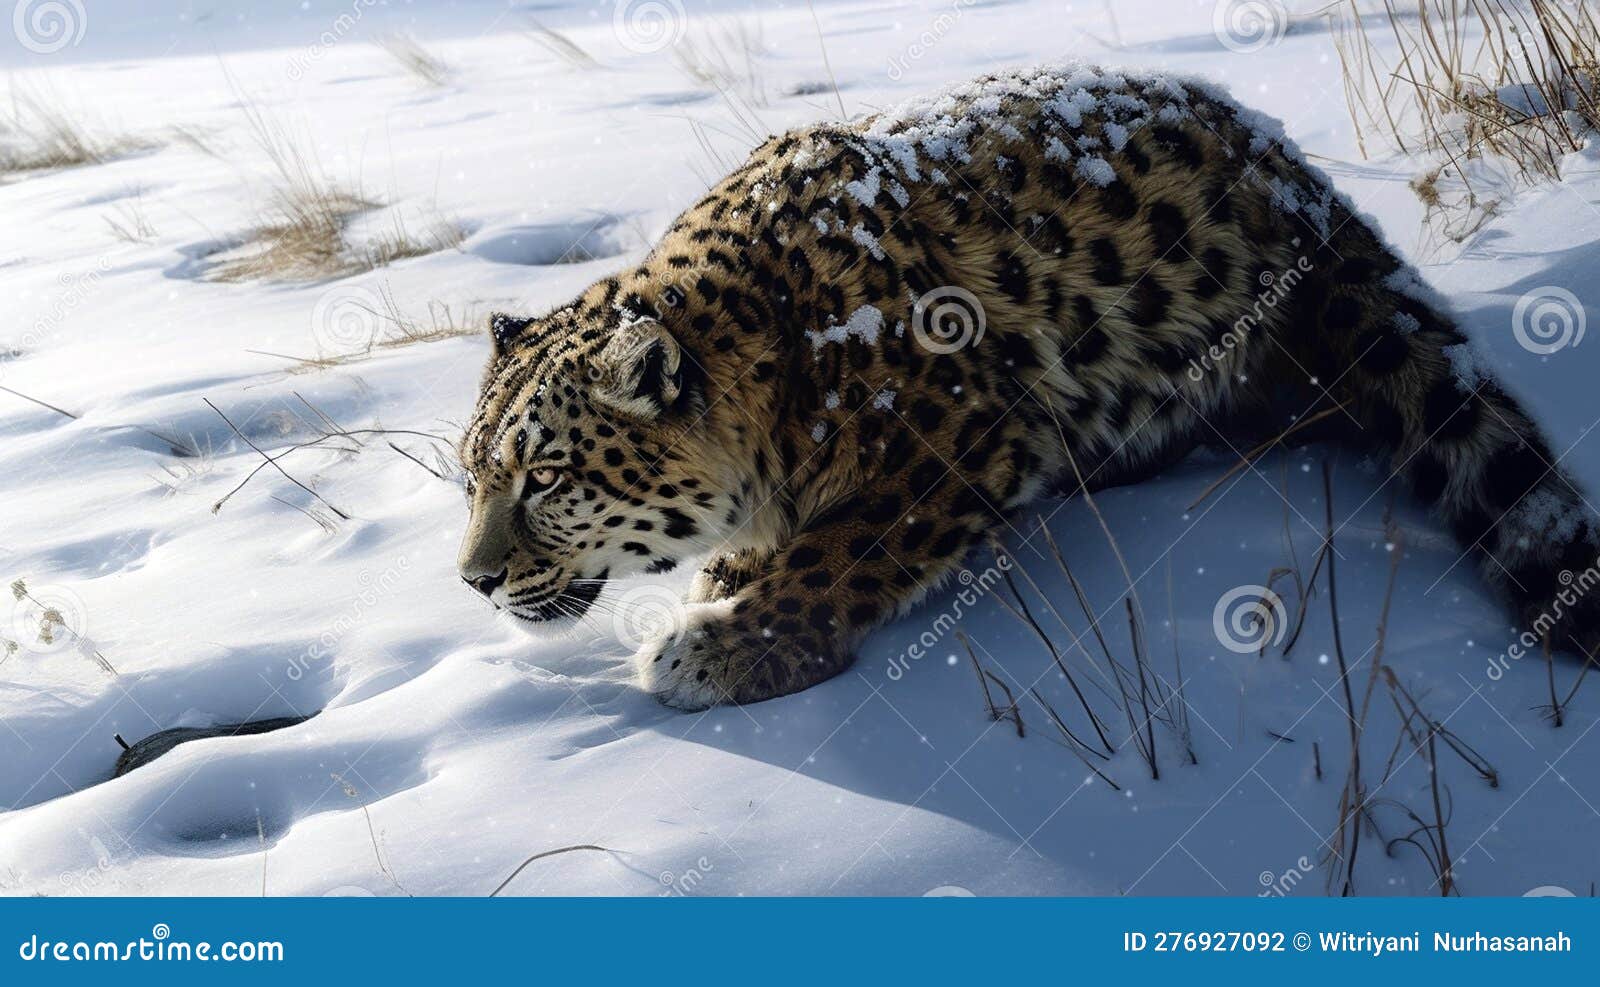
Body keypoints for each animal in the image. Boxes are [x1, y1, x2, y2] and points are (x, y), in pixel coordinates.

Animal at [457, 62, 1600, 710]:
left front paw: (731, 646)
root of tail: (1286, 169)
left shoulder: (956, 436)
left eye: (544, 476)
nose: (471, 582)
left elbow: (842, 551)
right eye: (470, 476)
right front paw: (729, 583)